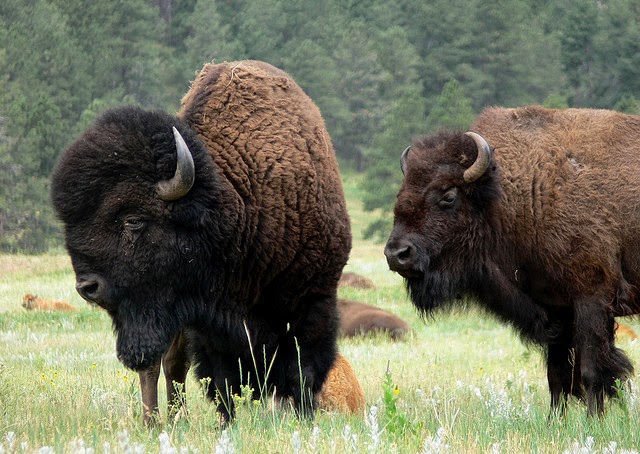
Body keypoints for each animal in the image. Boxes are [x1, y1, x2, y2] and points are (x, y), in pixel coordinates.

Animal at [52, 60, 351, 423]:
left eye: (133, 220)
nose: (87, 286)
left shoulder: (313, 303)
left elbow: (301, 372)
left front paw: (303, 419)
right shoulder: (206, 327)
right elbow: (220, 381)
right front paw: (227, 423)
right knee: (163, 366)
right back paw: (158, 421)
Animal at [385, 106, 640, 416]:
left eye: (448, 196)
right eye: (401, 192)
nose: (397, 254)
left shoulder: (592, 300)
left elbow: (592, 372)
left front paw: (594, 421)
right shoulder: (557, 309)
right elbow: (557, 375)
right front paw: (555, 421)